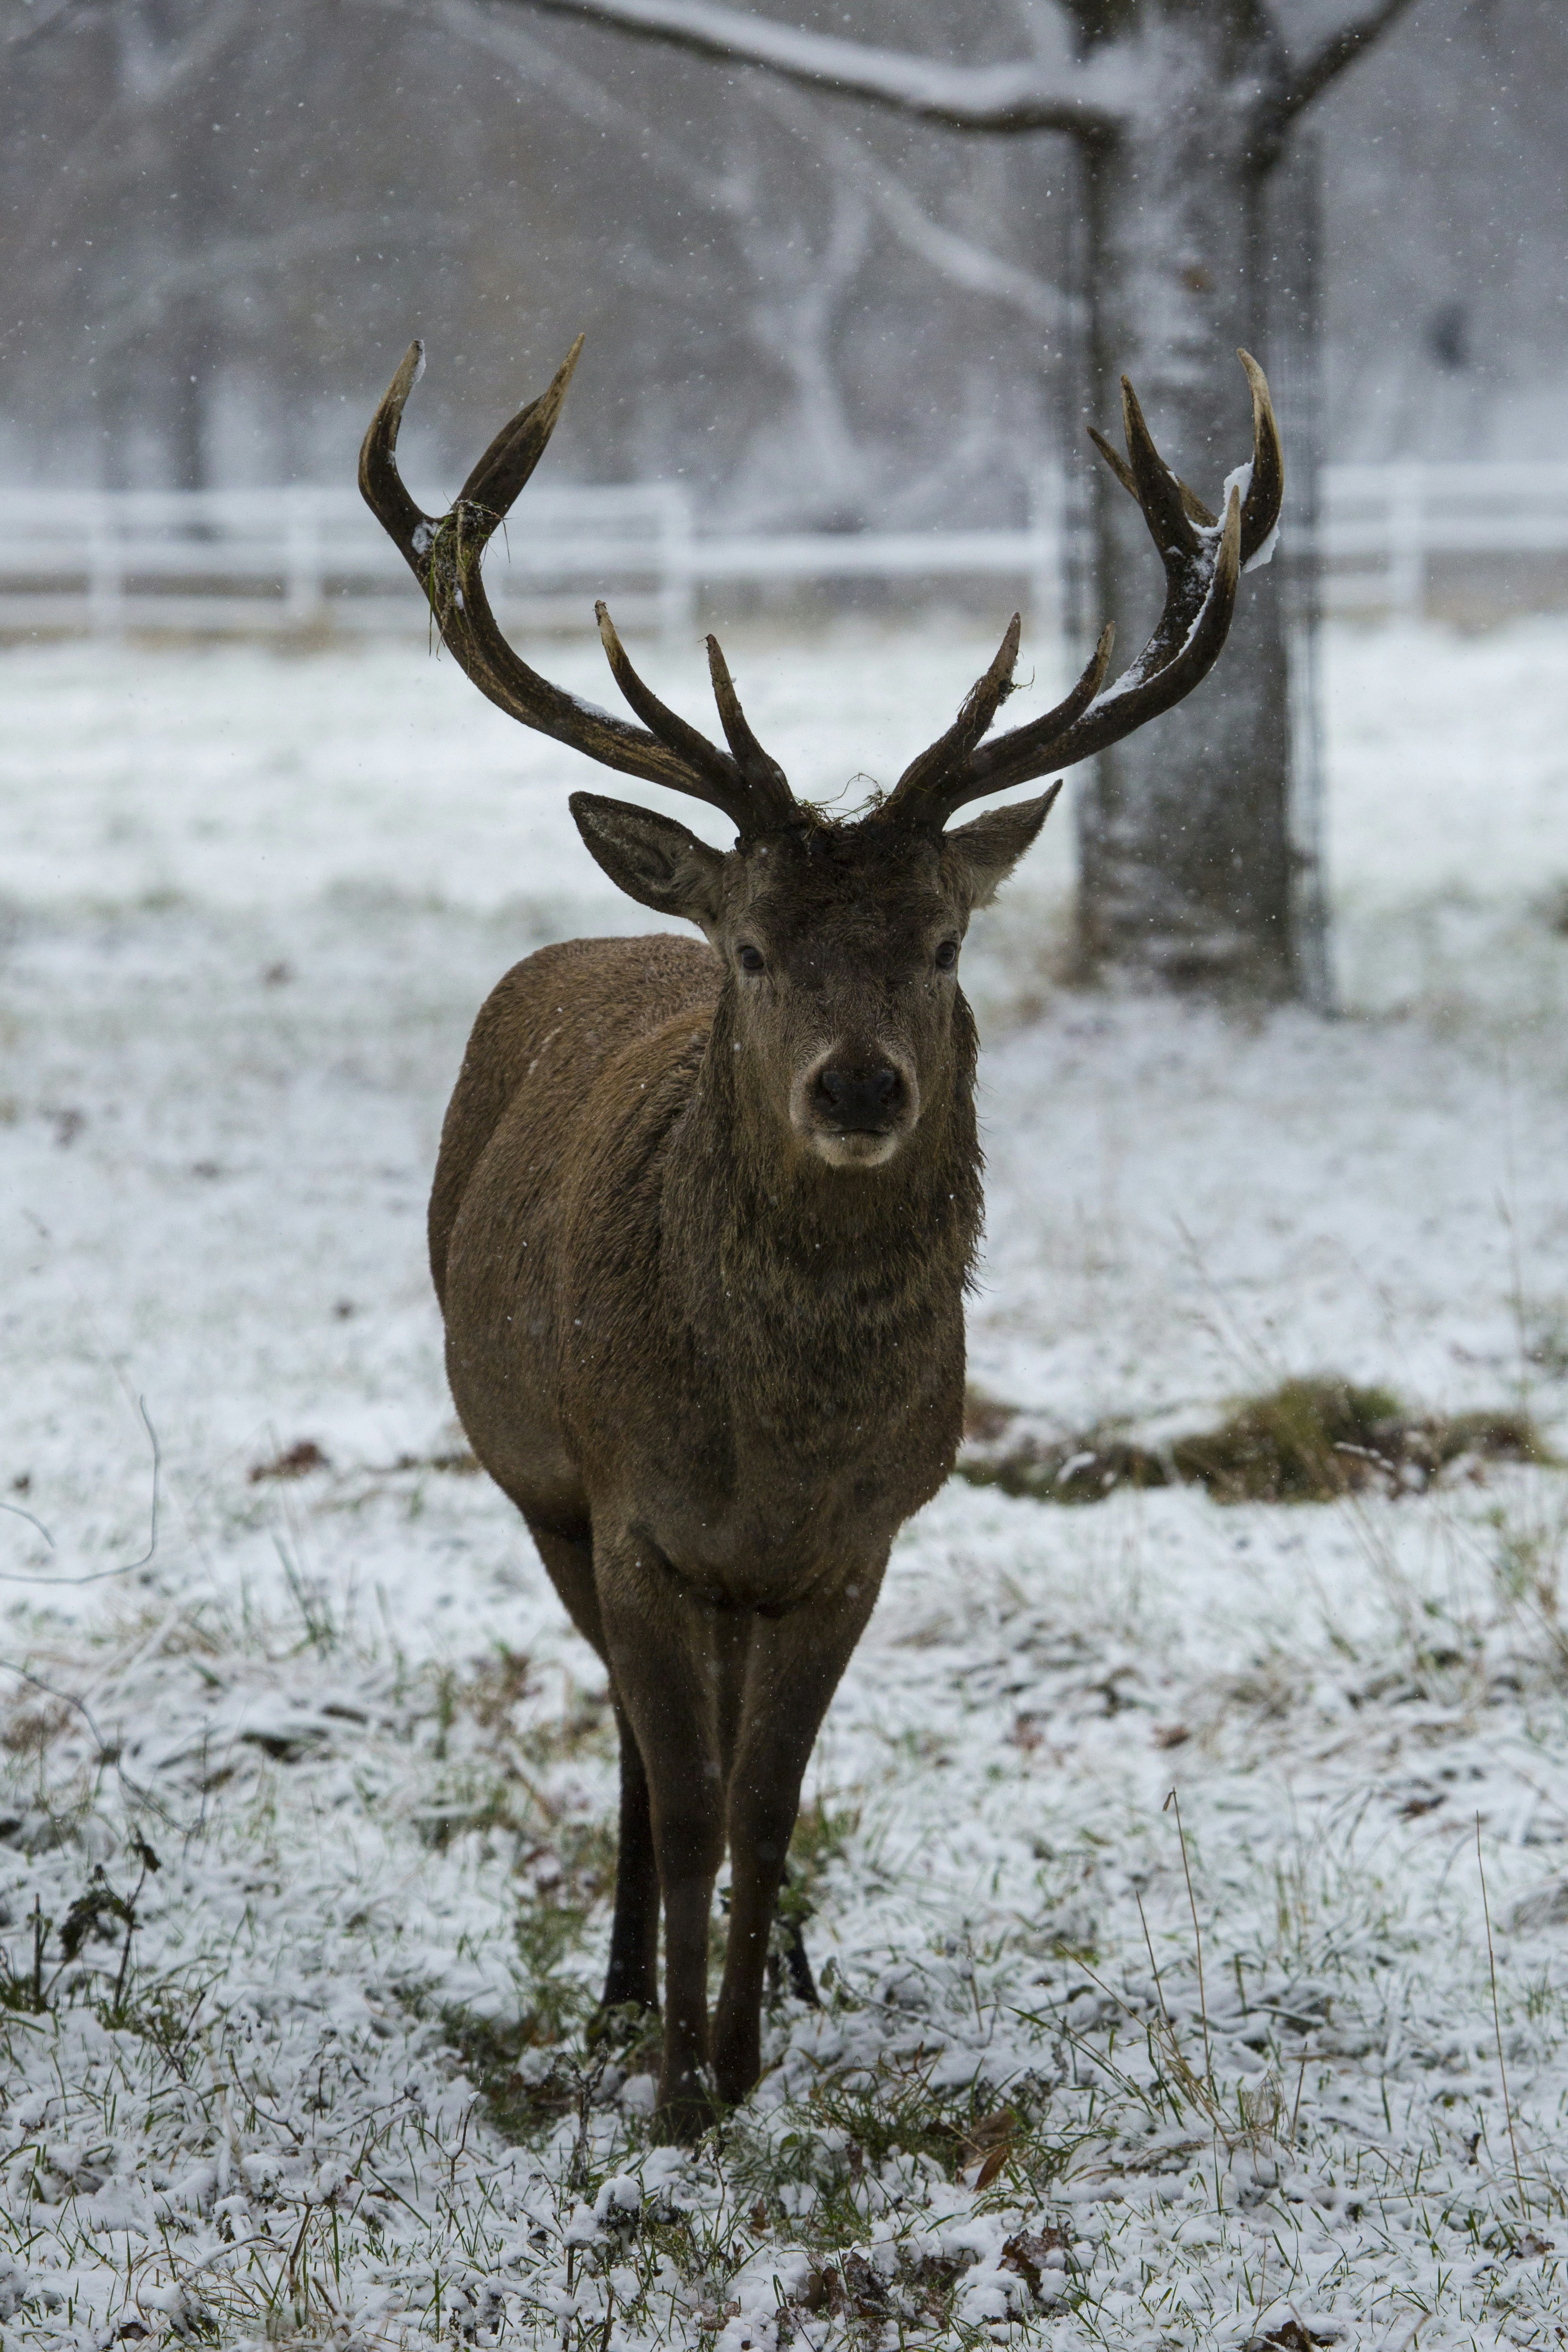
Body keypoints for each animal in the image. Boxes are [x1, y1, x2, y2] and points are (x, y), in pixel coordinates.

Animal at [359, 334, 1281, 2139]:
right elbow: (693, 1795)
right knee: (641, 1748)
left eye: (941, 939)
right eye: (756, 944)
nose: (859, 1084)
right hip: (535, 1486)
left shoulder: (863, 1540)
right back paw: (623, 1985)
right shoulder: (630, 1512)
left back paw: (777, 1971)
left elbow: (772, 1804)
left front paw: (744, 2056)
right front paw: (673, 2088)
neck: (771, 1447)